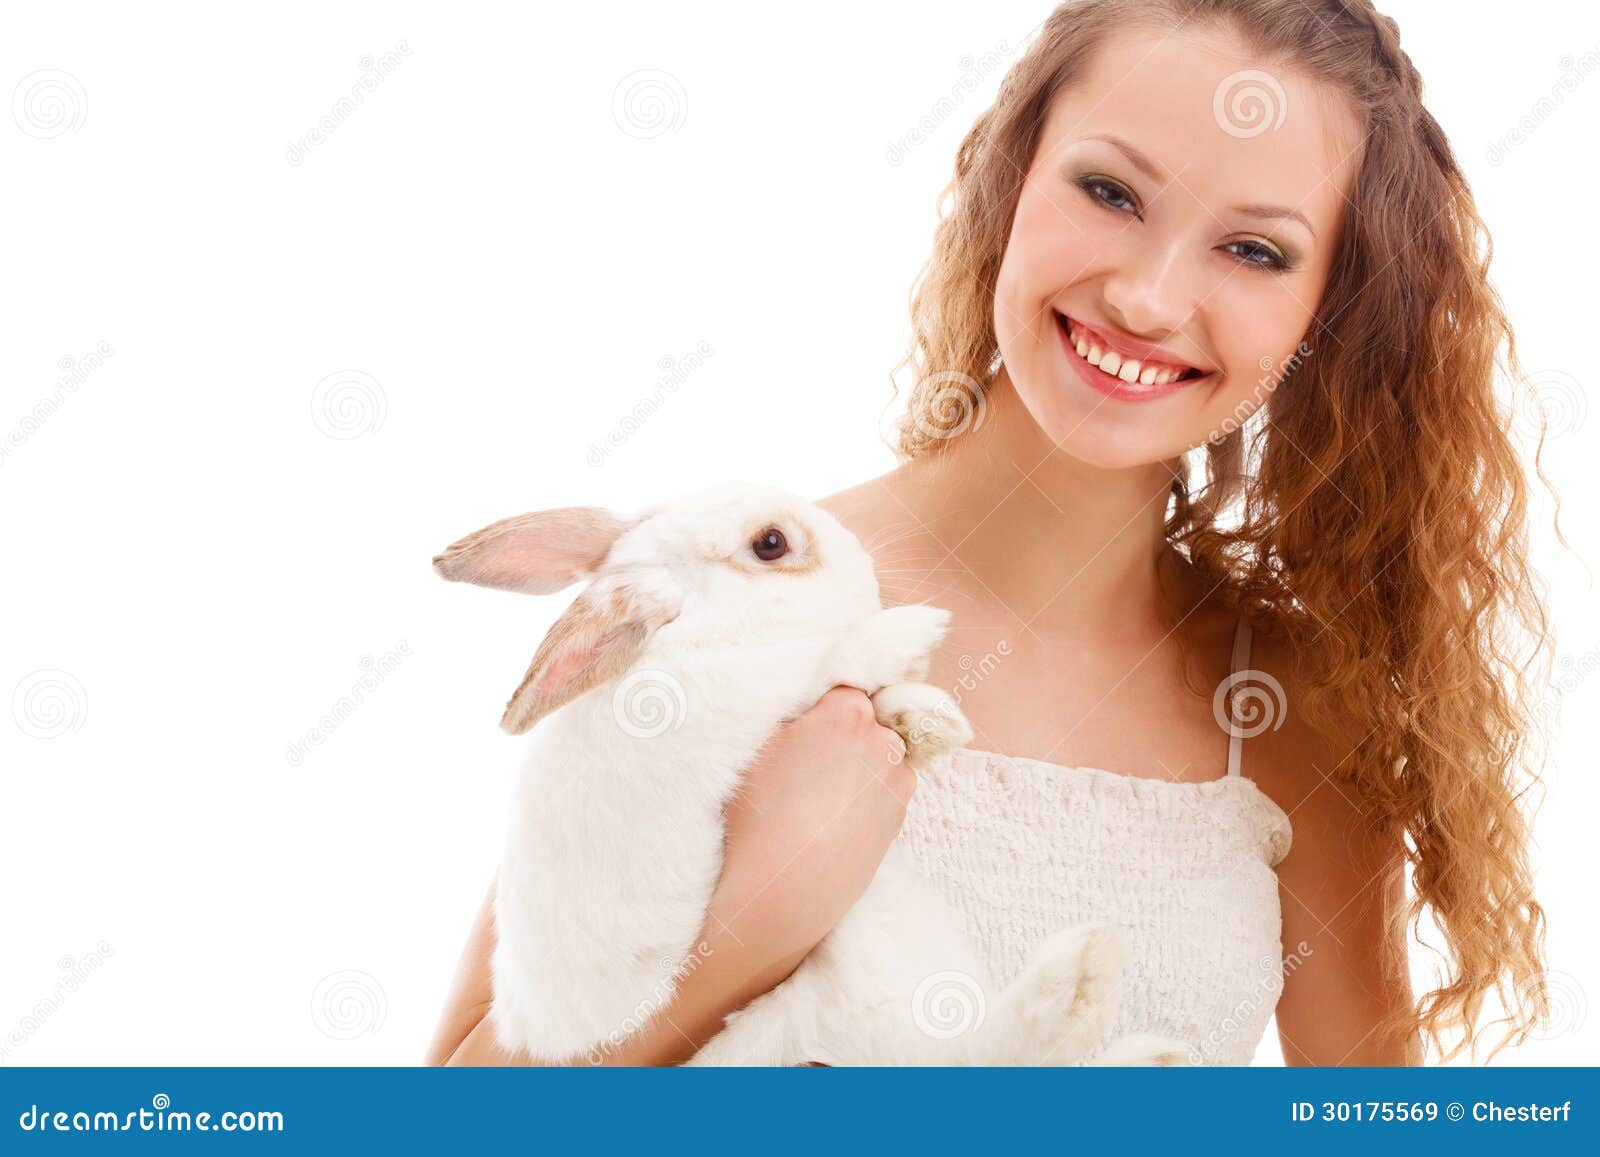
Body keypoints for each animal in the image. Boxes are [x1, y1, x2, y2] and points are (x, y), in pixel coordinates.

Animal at [433, 480, 1195, 1067]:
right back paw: (1088, 979)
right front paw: (915, 633)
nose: (867, 564)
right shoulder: (723, 702)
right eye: (771, 543)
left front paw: (926, 720)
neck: (704, 635)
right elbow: (818, 662)